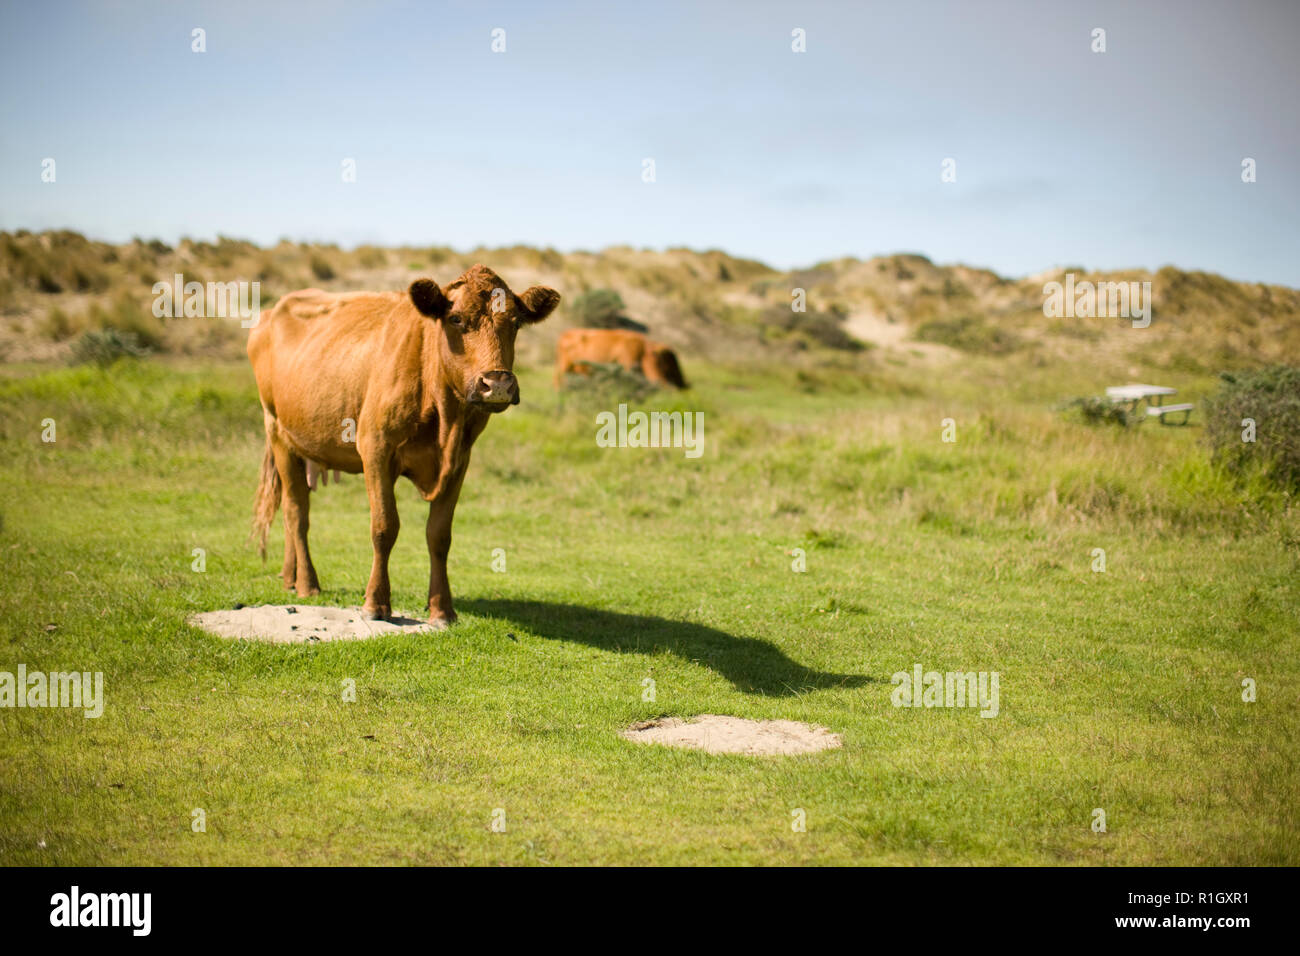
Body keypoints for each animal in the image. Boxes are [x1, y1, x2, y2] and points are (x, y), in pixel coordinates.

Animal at [247, 265, 560, 627]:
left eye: (516, 323)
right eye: (456, 318)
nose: (497, 384)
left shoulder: (460, 460)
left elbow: (439, 535)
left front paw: (442, 609)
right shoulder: (375, 449)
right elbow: (384, 527)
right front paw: (376, 603)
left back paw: (290, 577)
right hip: (277, 433)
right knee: (296, 511)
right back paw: (307, 584)